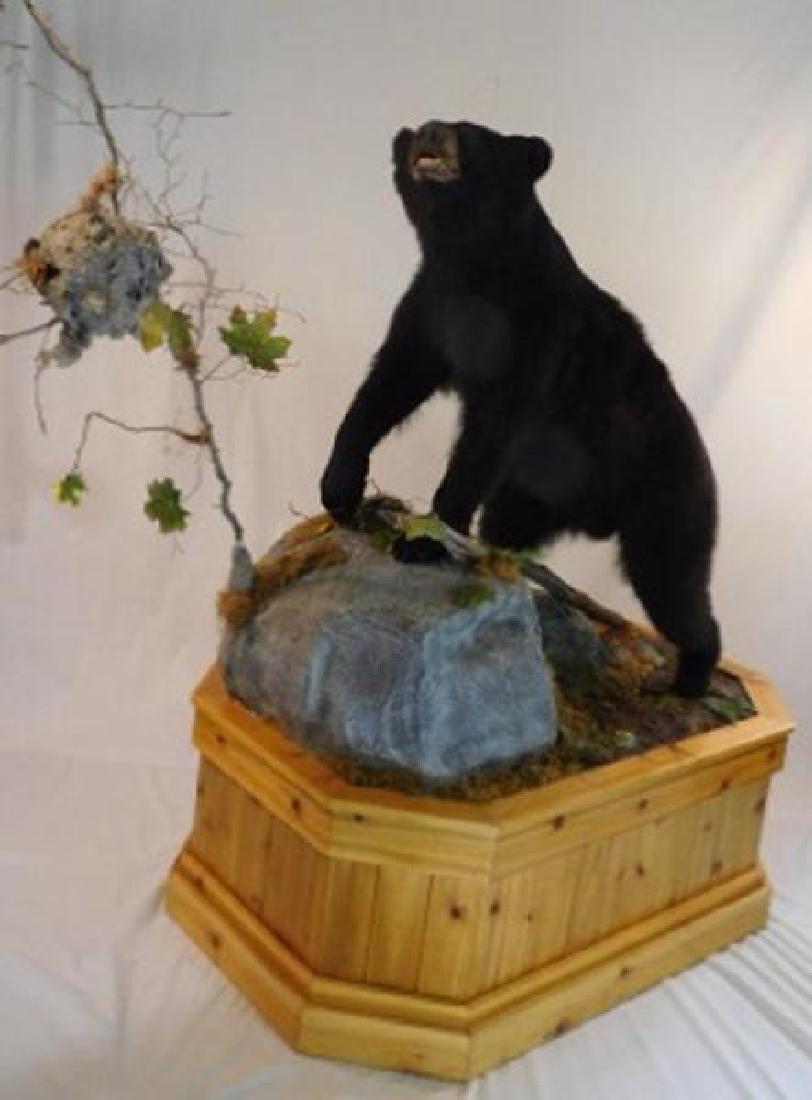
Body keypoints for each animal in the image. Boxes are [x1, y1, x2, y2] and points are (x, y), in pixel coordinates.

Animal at [320, 120, 721, 697]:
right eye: (420, 128)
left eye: (470, 134)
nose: (431, 131)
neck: (472, 258)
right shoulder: (431, 308)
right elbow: (387, 386)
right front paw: (340, 487)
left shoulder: (537, 332)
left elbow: (491, 428)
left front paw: (426, 539)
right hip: (536, 494)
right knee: (510, 523)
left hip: (668, 504)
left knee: (674, 584)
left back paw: (691, 675)